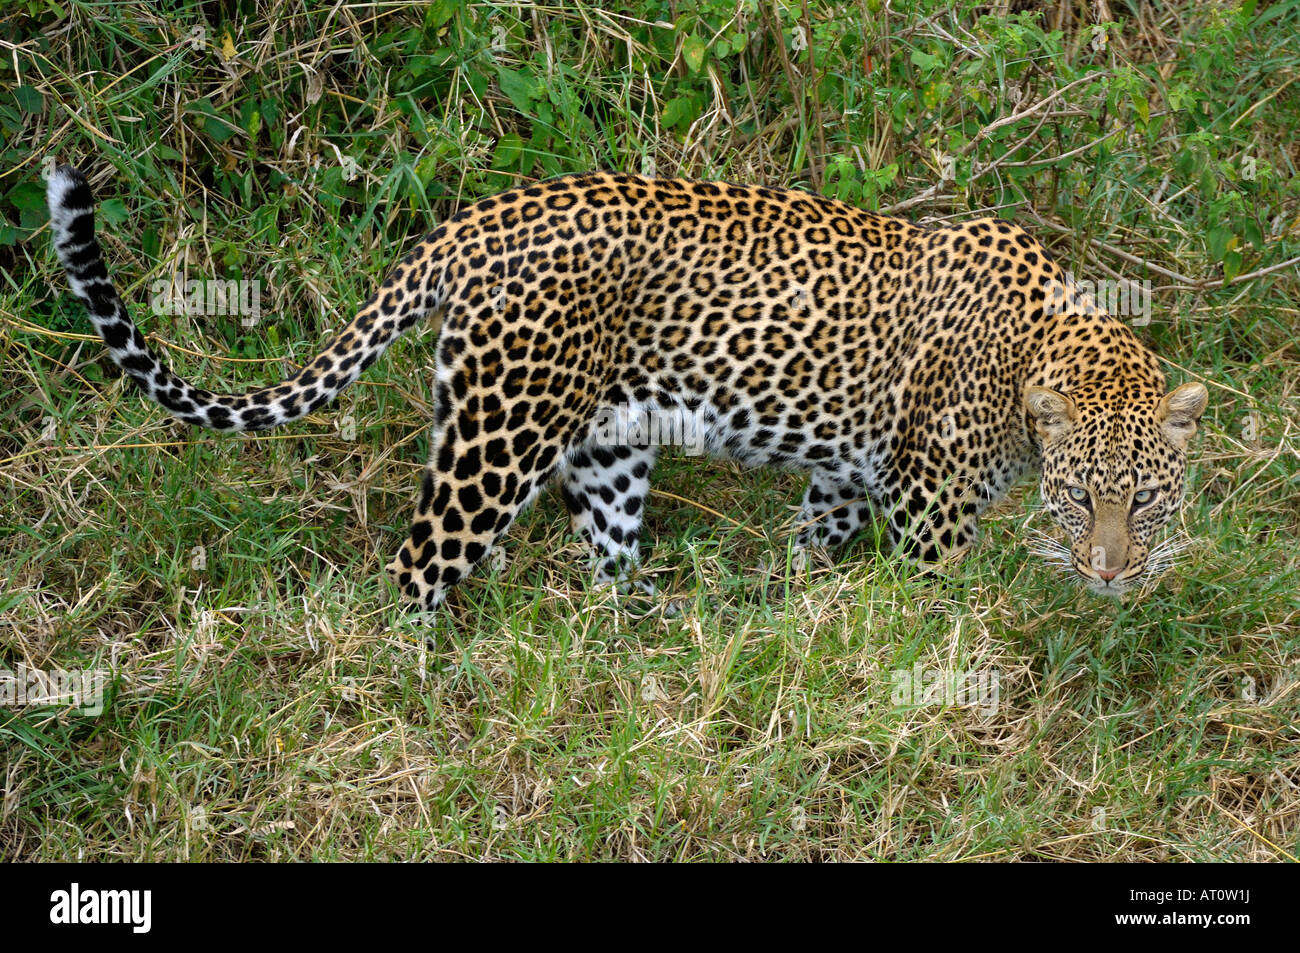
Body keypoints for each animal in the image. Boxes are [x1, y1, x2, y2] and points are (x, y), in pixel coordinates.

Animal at [46, 164, 1208, 611]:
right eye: (1082, 496)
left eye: (1149, 499)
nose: (1111, 573)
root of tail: (469, 226)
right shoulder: (929, 506)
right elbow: (936, 601)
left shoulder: (848, 475)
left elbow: (813, 538)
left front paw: (794, 609)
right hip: (499, 434)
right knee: (420, 564)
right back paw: (421, 678)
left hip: (606, 443)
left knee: (604, 554)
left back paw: (636, 630)